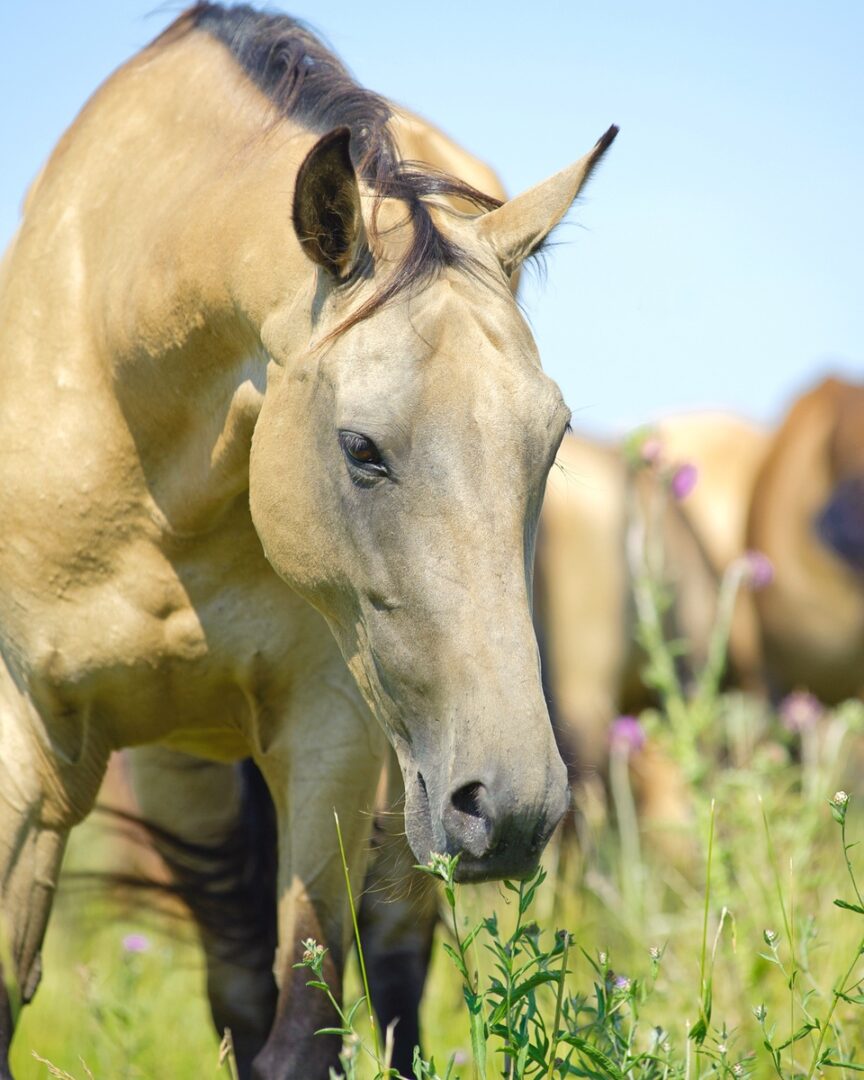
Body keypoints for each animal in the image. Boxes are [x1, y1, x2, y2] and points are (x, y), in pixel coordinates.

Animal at [0, 5, 616, 1078]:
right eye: (360, 448)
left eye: (552, 441)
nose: (517, 806)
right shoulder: (21, 741)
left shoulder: (330, 737)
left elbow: (306, 1029)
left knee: (397, 969)